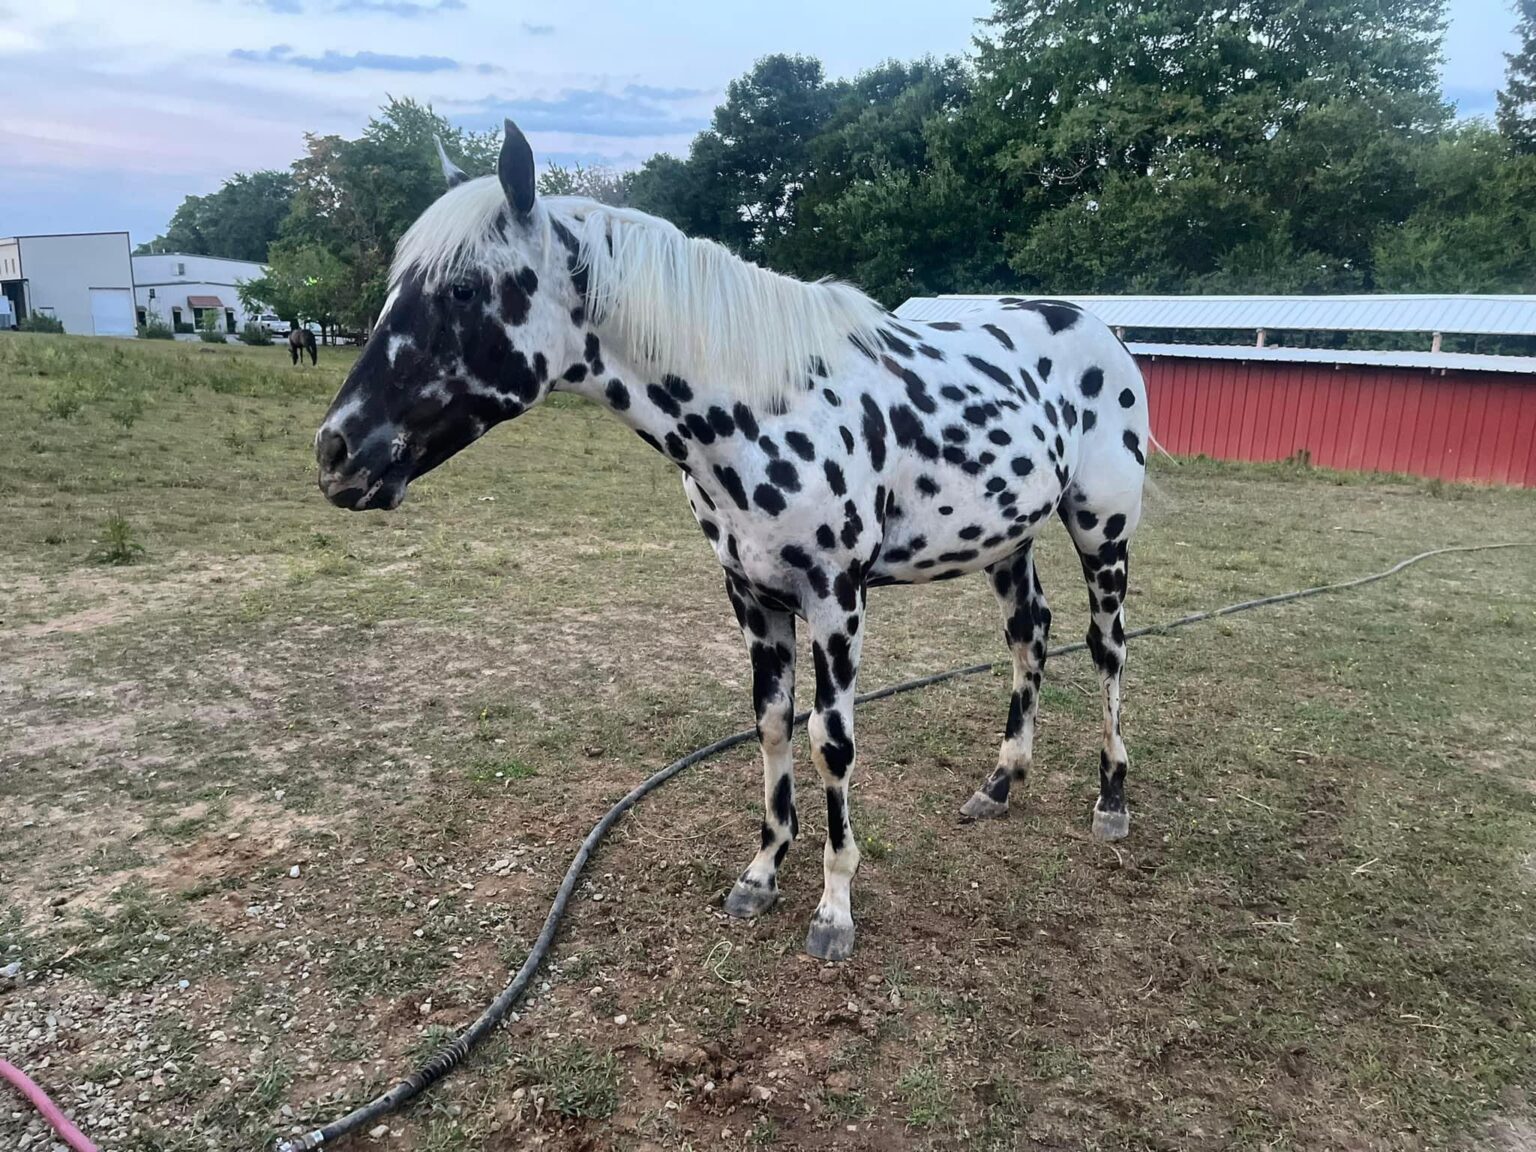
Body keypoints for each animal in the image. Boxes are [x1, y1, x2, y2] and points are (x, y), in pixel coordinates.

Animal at [313, 120, 1148, 961]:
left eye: (461, 289)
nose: (337, 453)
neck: (767, 403)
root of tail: (1102, 333)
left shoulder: (836, 600)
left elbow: (830, 740)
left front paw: (834, 910)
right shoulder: (751, 594)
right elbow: (772, 724)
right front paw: (761, 874)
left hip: (1101, 533)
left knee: (1106, 648)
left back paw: (1111, 800)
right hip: (1006, 541)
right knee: (1029, 638)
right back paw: (1000, 784)